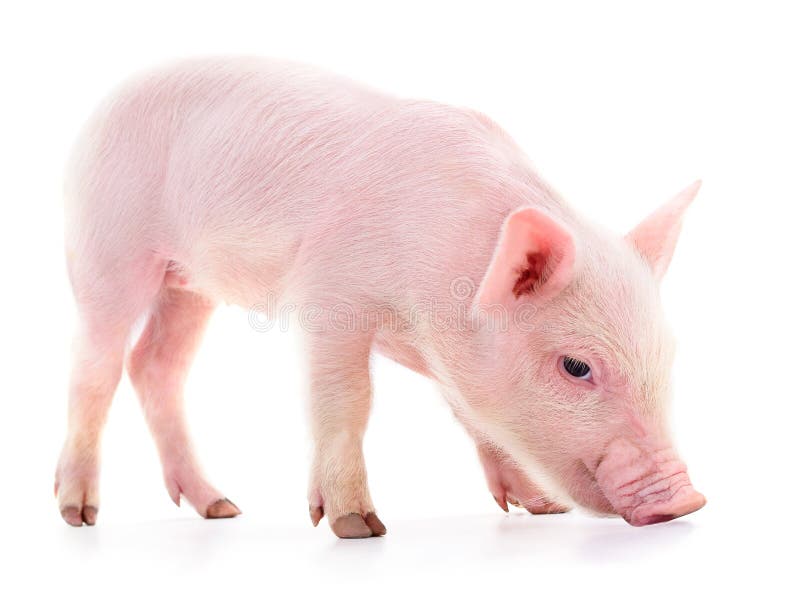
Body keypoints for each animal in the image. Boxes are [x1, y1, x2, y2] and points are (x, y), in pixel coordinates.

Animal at [56, 57, 705, 537]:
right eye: (575, 366)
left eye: (670, 358)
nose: (687, 500)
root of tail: (107, 101)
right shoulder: (328, 291)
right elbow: (347, 400)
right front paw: (357, 525)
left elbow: (471, 412)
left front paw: (543, 511)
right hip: (108, 248)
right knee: (97, 369)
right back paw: (80, 514)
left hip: (189, 283)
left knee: (154, 364)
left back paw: (221, 509)